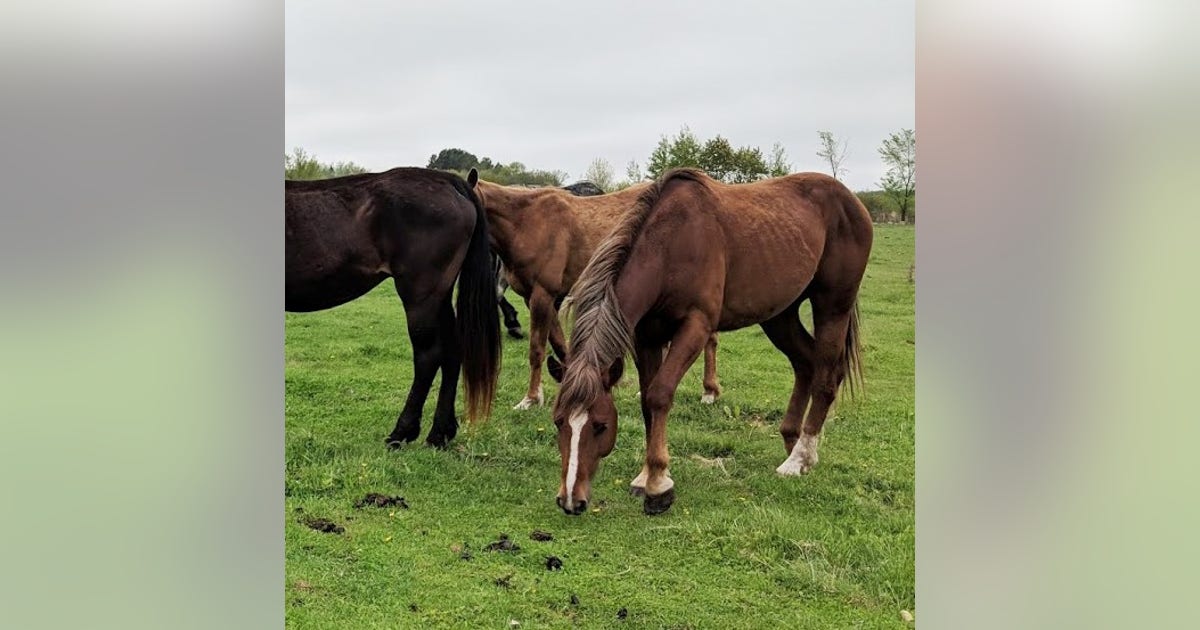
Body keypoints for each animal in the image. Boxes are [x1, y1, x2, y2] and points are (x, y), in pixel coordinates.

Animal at [286, 167, 501, 448]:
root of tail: (447, 180)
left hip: (421, 296)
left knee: (428, 356)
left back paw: (402, 432)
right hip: (440, 297)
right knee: (452, 352)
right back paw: (440, 433)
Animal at [471, 171, 722, 411]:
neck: (526, 221)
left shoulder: (542, 296)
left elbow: (537, 350)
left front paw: (531, 398)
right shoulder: (538, 299)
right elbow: (561, 345)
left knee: (709, 339)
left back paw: (709, 391)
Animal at [550, 168, 873, 515]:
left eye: (600, 425)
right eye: (558, 422)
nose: (570, 500)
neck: (670, 245)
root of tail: (851, 199)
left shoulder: (696, 327)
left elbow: (660, 395)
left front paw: (659, 486)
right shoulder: (646, 337)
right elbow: (647, 401)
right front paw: (645, 477)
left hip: (833, 306)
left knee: (825, 378)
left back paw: (800, 458)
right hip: (779, 314)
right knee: (805, 364)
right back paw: (792, 442)